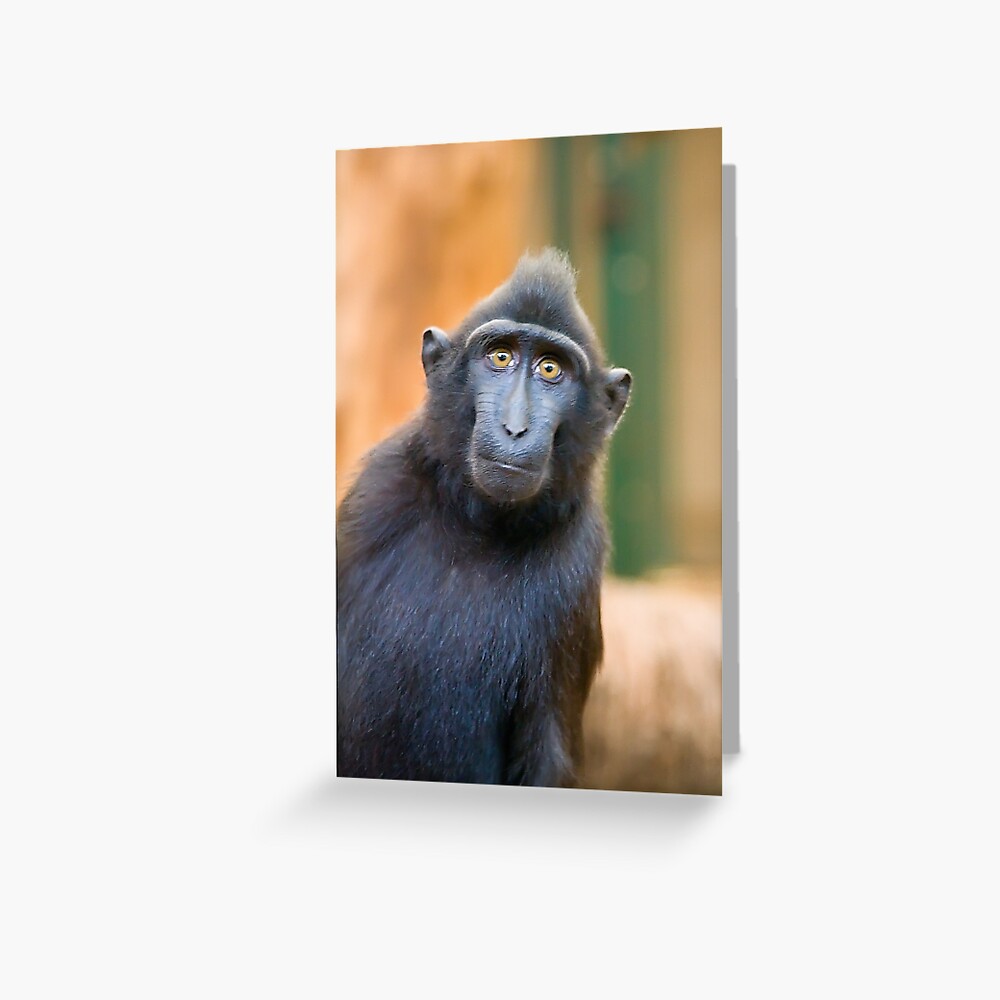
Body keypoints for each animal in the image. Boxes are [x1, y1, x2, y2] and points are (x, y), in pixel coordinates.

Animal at [336, 248, 631, 786]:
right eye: (500, 358)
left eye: (551, 369)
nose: (515, 428)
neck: (479, 525)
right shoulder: (375, 496)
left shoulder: (579, 562)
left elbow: (546, 755)